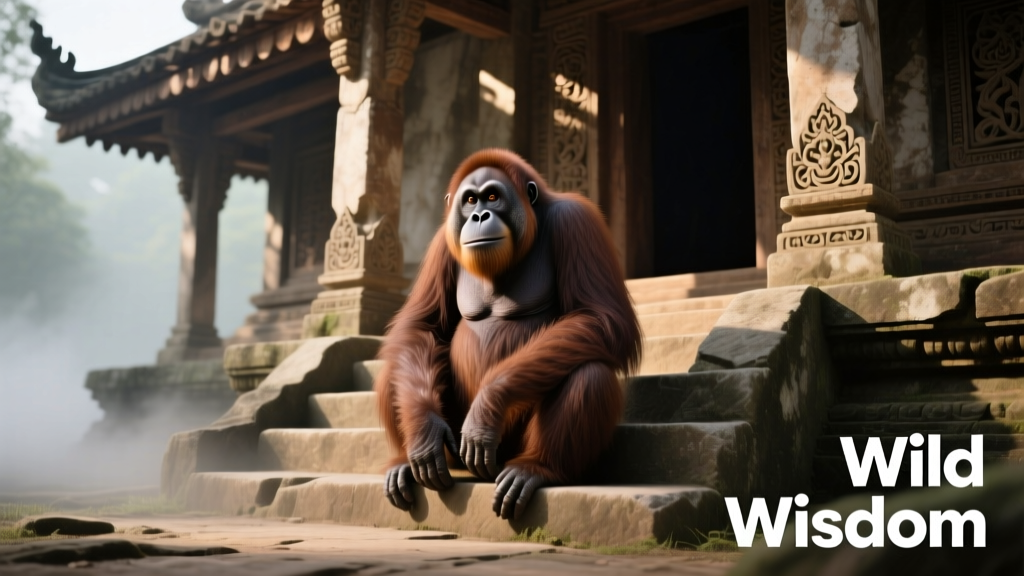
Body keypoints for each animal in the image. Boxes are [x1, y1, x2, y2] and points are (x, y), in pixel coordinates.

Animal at [374, 149, 641, 520]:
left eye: (491, 197)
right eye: (470, 200)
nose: (479, 216)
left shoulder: (577, 221)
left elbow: (603, 318)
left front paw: (487, 409)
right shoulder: (442, 243)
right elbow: (421, 325)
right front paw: (425, 432)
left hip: (506, 445)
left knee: (590, 372)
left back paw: (537, 468)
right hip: (453, 449)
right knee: (396, 367)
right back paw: (403, 462)